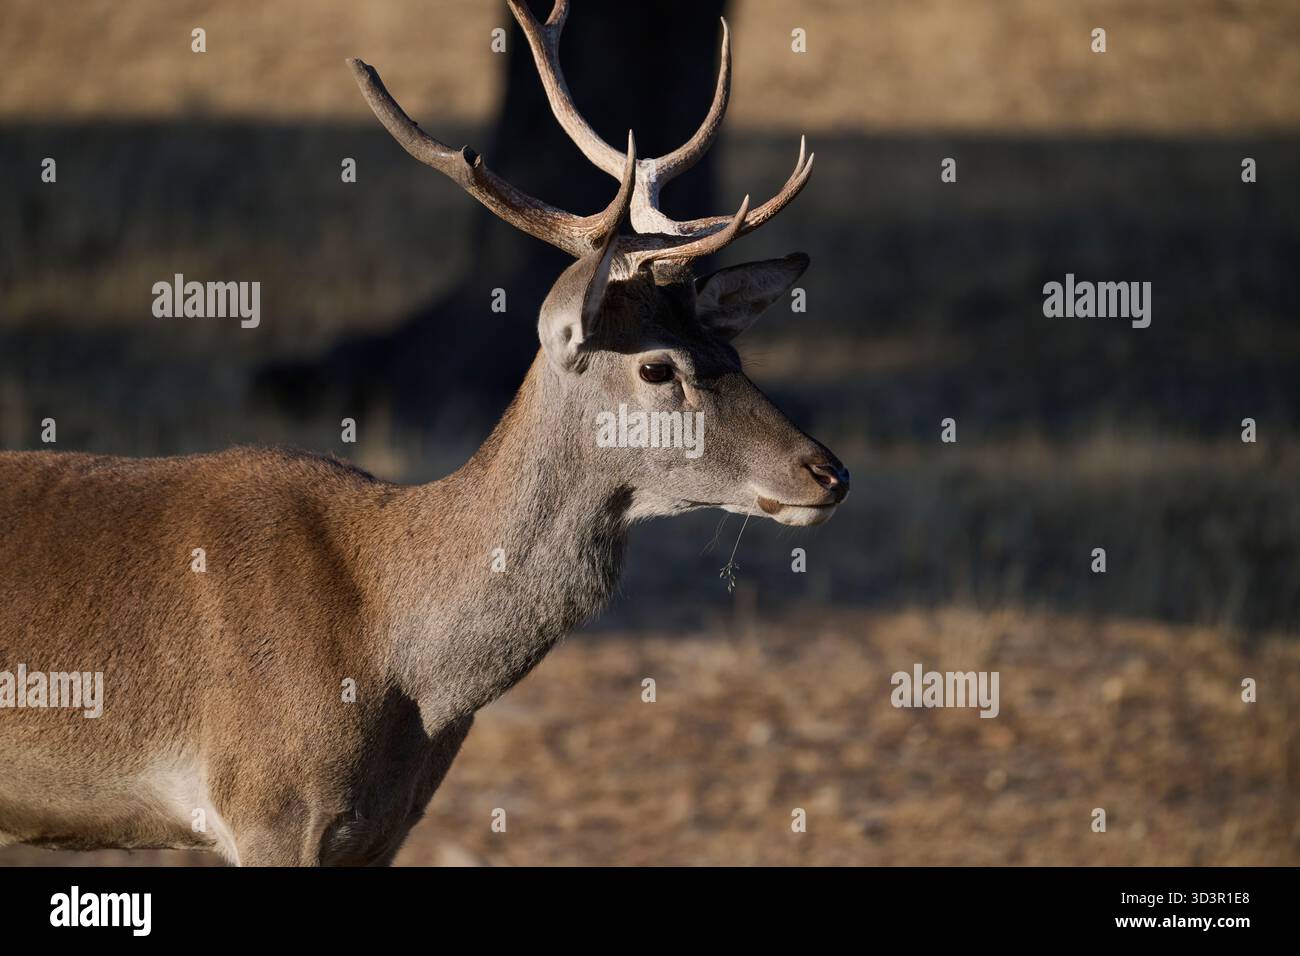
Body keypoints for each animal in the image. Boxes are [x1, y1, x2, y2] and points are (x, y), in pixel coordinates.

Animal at [0, 0, 848, 866]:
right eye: (656, 368)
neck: (398, 662)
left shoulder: (383, 828)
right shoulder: (264, 803)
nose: (827, 472)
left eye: (734, 352)